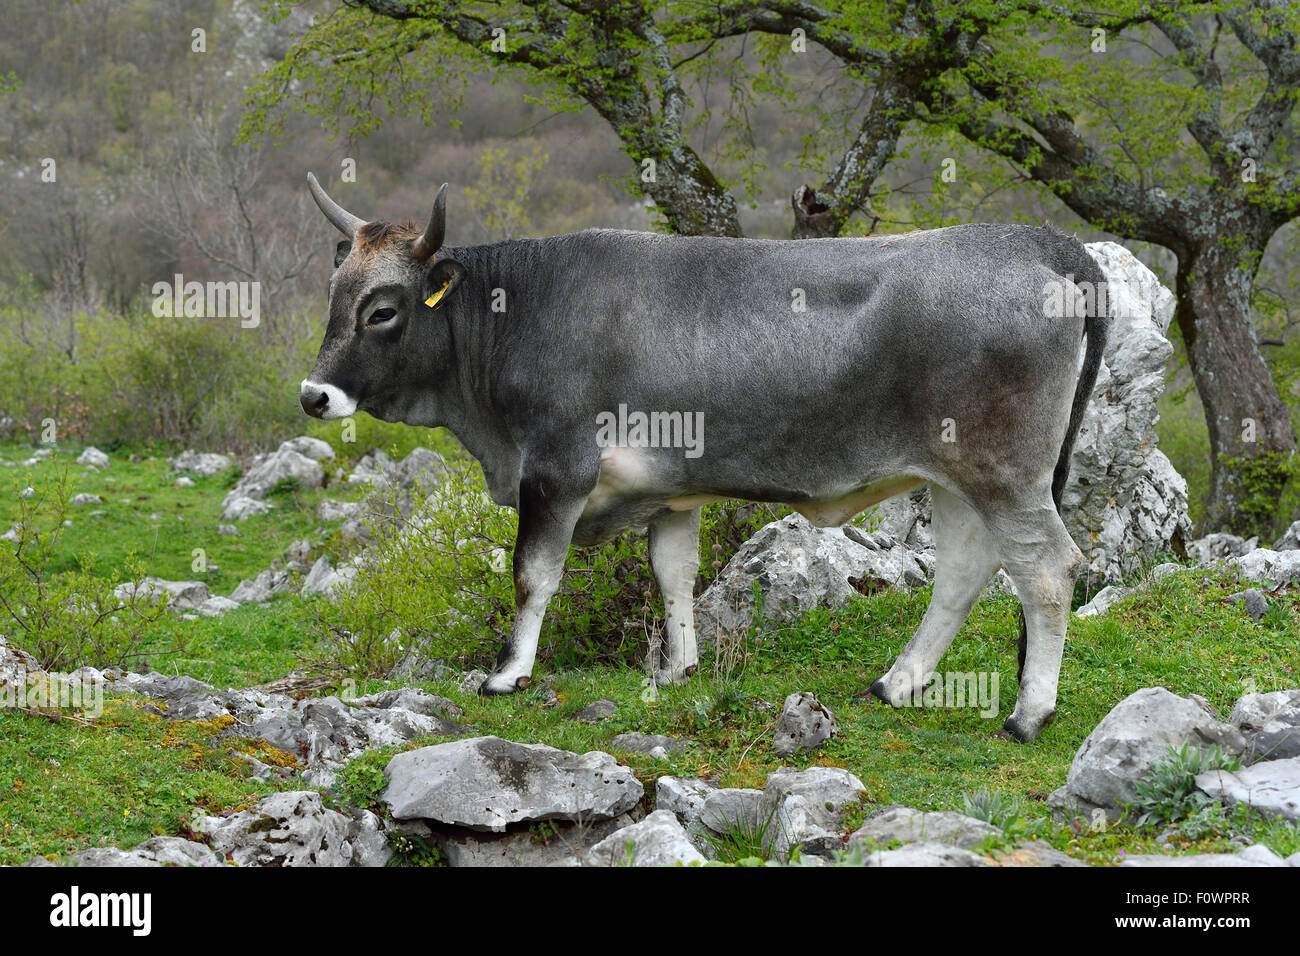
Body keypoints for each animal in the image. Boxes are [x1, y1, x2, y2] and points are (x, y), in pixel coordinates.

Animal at [300, 172, 1108, 743]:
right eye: (333, 295)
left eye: (383, 310)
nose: (314, 395)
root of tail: (1037, 242)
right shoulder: (670, 487)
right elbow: (674, 574)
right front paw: (678, 667)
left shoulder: (555, 470)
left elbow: (533, 576)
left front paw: (508, 675)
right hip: (955, 476)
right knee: (967, 570)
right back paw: (898, 683)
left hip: (1006, 475)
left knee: (1047, 571)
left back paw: (1029, 715)